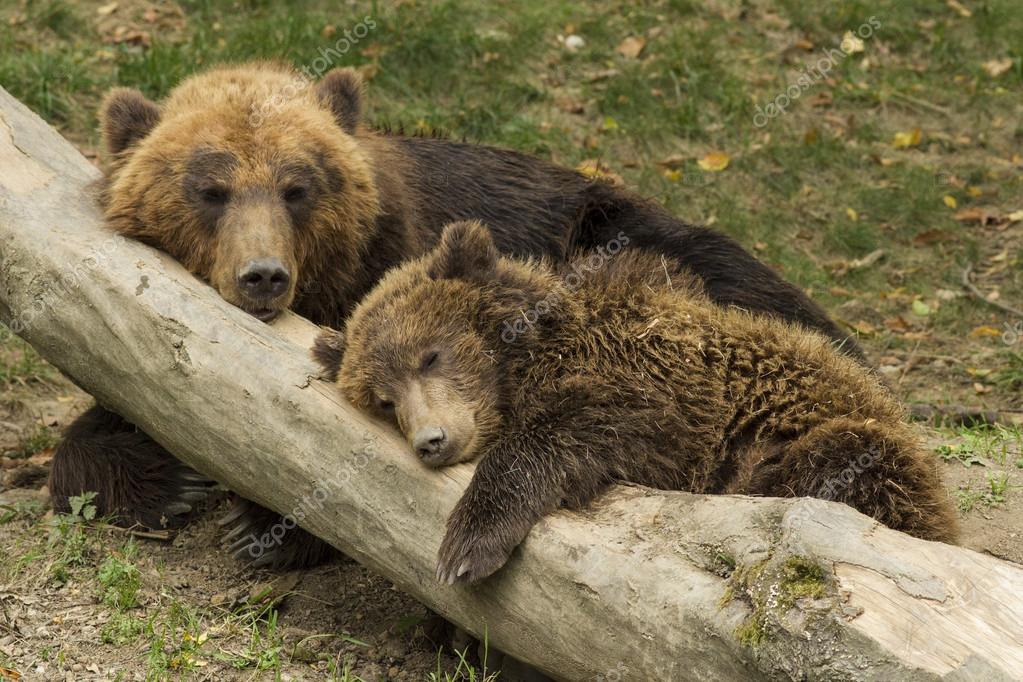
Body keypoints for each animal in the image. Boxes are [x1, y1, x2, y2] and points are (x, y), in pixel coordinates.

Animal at [315, 220, 958, 584]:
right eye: (383, 399)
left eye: (430, 354)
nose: (431, 440)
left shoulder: (667, 389)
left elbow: (589, 425)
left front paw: (467, 547)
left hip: (844, 443)